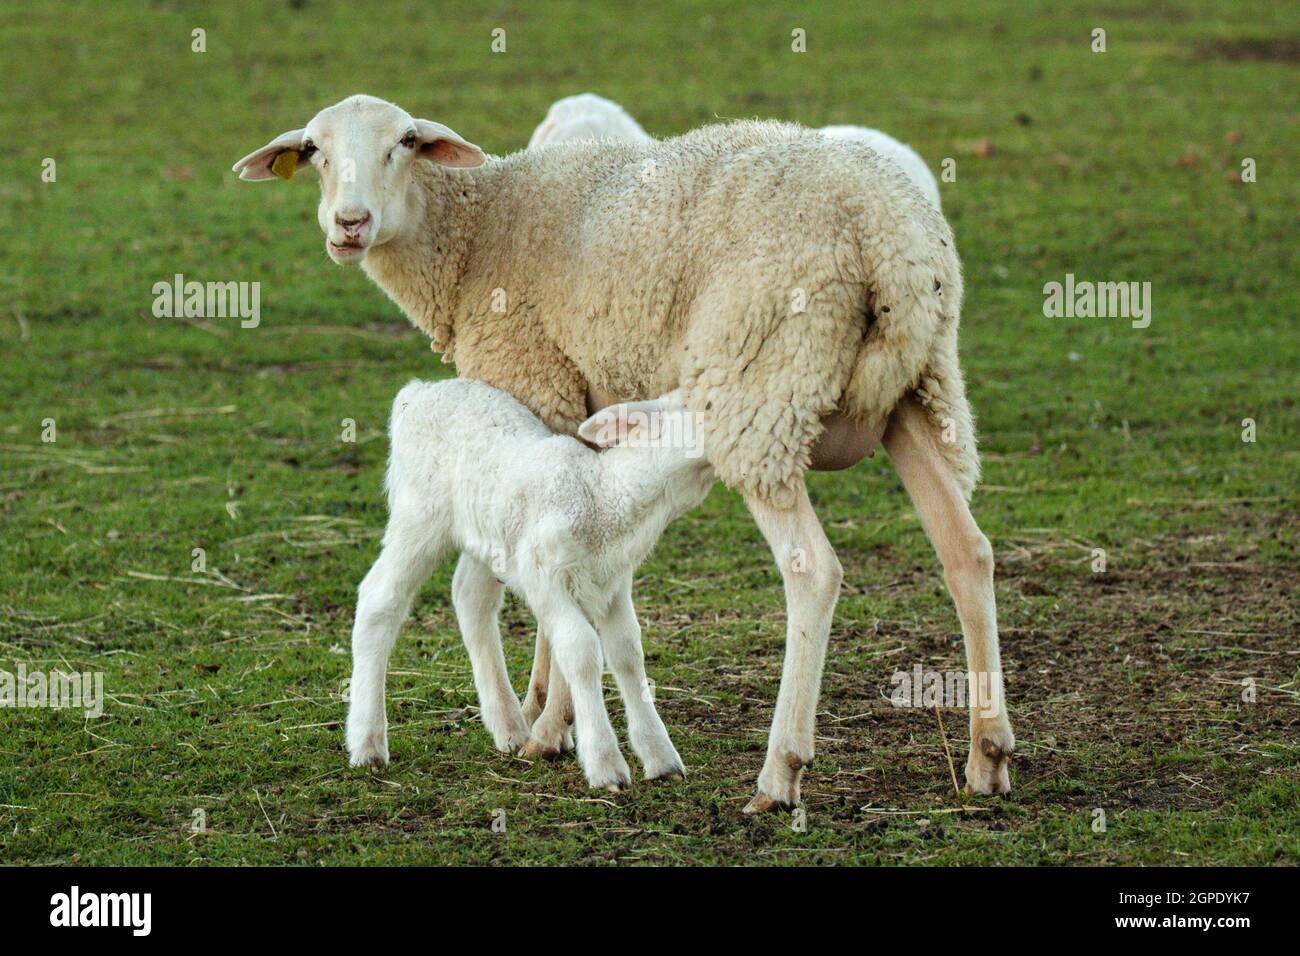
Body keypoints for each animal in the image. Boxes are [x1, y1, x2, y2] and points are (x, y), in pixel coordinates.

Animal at [346, 377, 712, 791]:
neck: (602, 497)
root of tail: (417, 390)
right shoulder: (544, 575)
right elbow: (582, 650)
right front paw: (605, 764)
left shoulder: (613, 585)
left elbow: (627, 651)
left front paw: (660, 756)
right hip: (419, 512)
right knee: (379, 598)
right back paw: (368, 742)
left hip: (487, 530)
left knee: (470, 598)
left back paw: (508, 726)